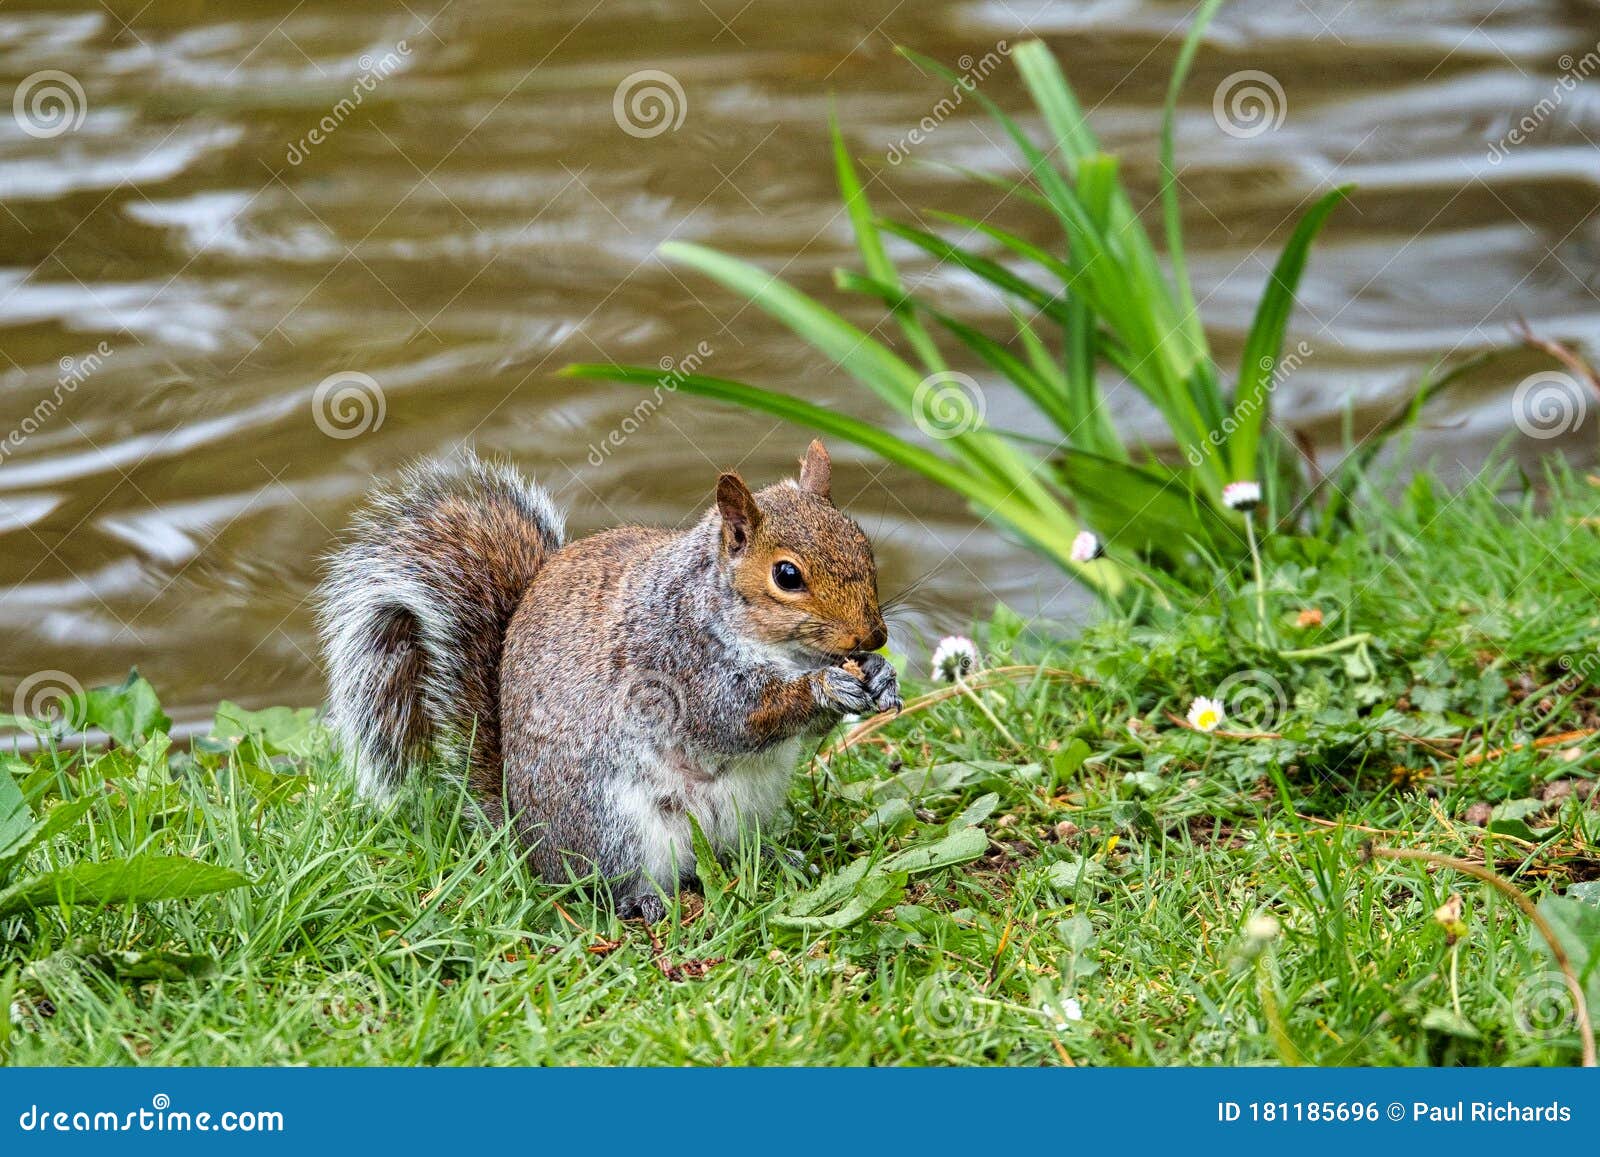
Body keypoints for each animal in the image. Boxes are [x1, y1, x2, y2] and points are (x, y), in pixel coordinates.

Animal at [317, 439, 900, 921]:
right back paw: (641, 899)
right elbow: (736, 719)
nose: (873, 636)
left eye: (864, 544)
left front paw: (880, 677)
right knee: (605, 882)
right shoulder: (677, 663)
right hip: (613, 824)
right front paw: (825, 688)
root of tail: (526, 839)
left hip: (745, 810)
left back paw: (780, 856)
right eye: (787, 575)